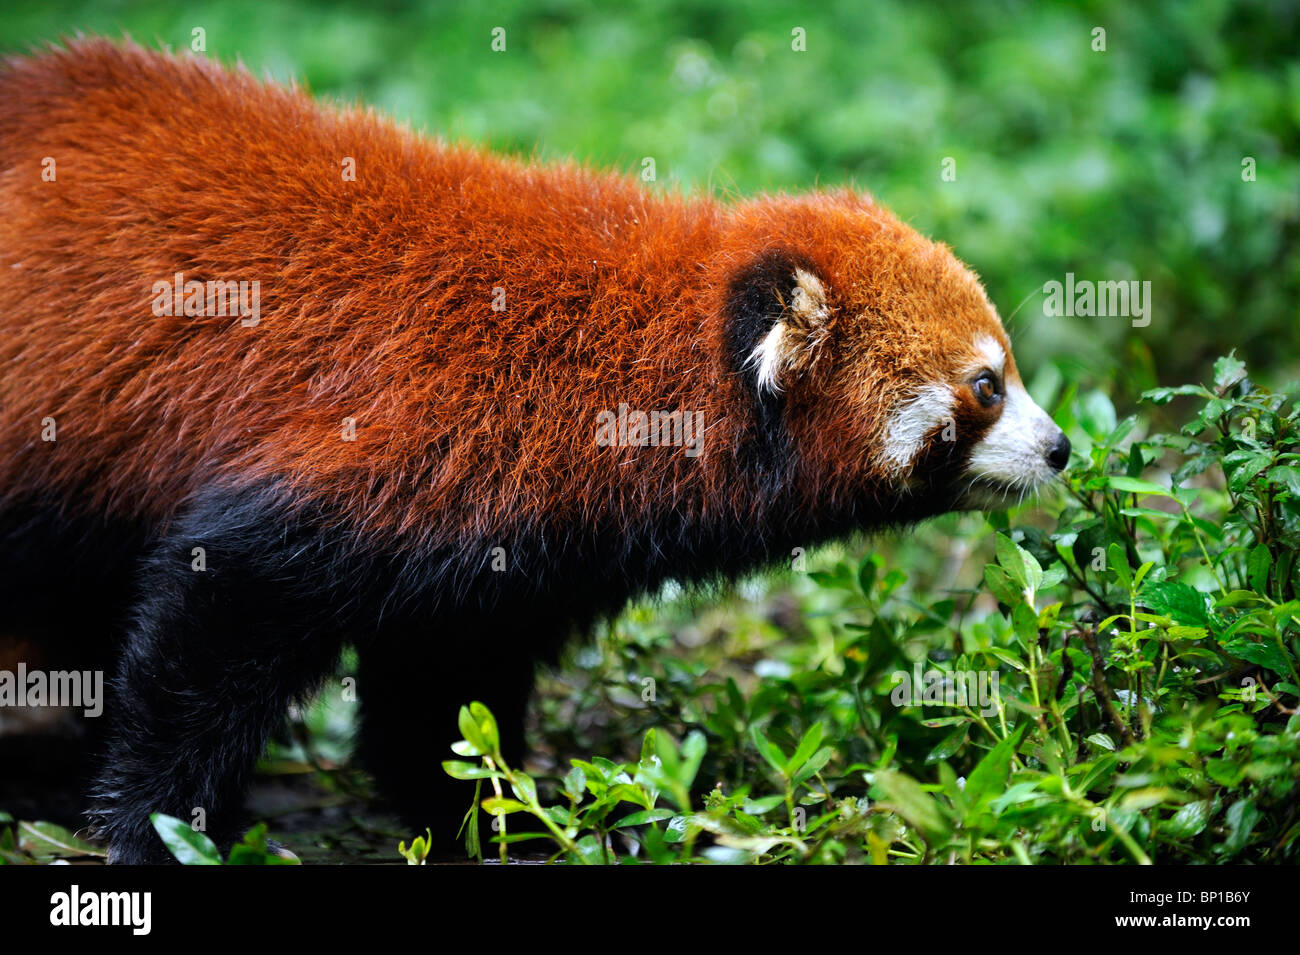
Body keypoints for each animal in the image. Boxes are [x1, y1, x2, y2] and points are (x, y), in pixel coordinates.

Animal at [0, 39, 1069, 863]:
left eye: (1009, 366)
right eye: (986, 385)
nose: (1061, 447)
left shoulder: (492, 553)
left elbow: (442, 695)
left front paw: (492, 817)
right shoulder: (373, 456)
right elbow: (216, 624)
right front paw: (150, 830)